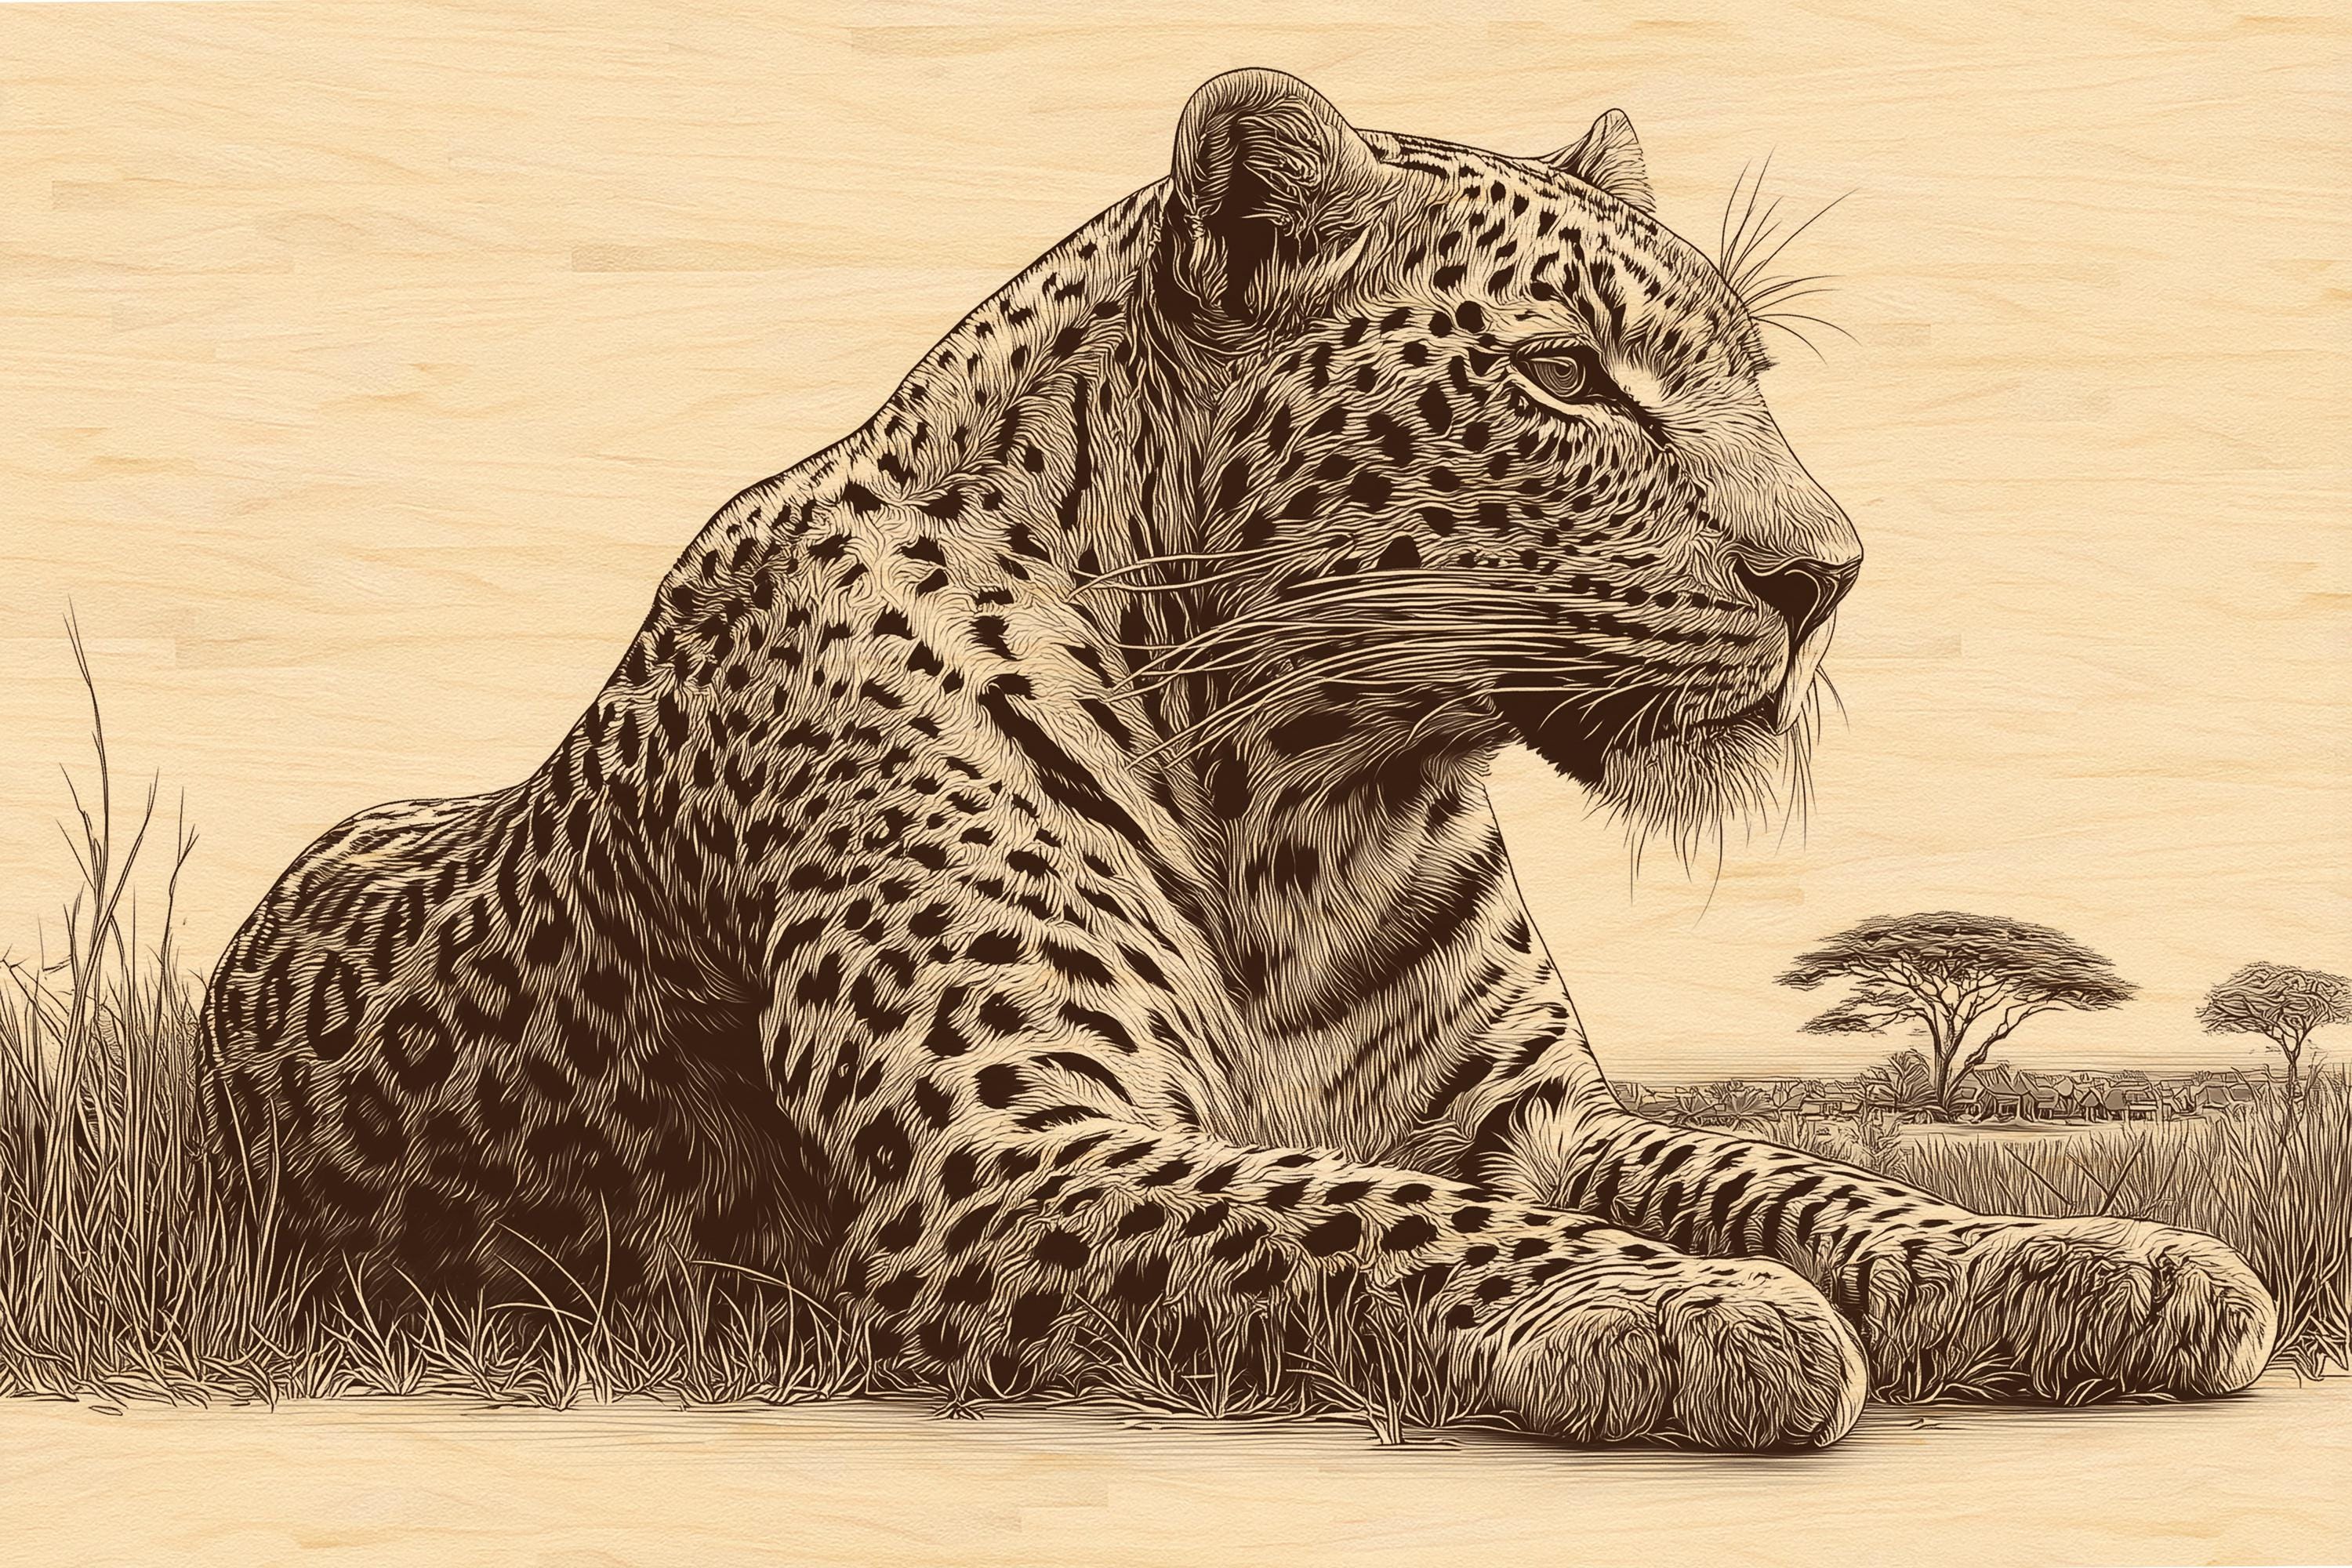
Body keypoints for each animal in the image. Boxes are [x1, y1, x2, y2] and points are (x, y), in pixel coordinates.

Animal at [199, 69, 2276, 1449]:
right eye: (1562, 377)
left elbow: (1792, 1166)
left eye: (1747, 372)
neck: (1311, 790)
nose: (1825, 576)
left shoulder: (1534, 1118)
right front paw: (1672, 1304)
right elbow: (1346, 1205)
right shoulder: (1006, 1154)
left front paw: (2085, 1259)